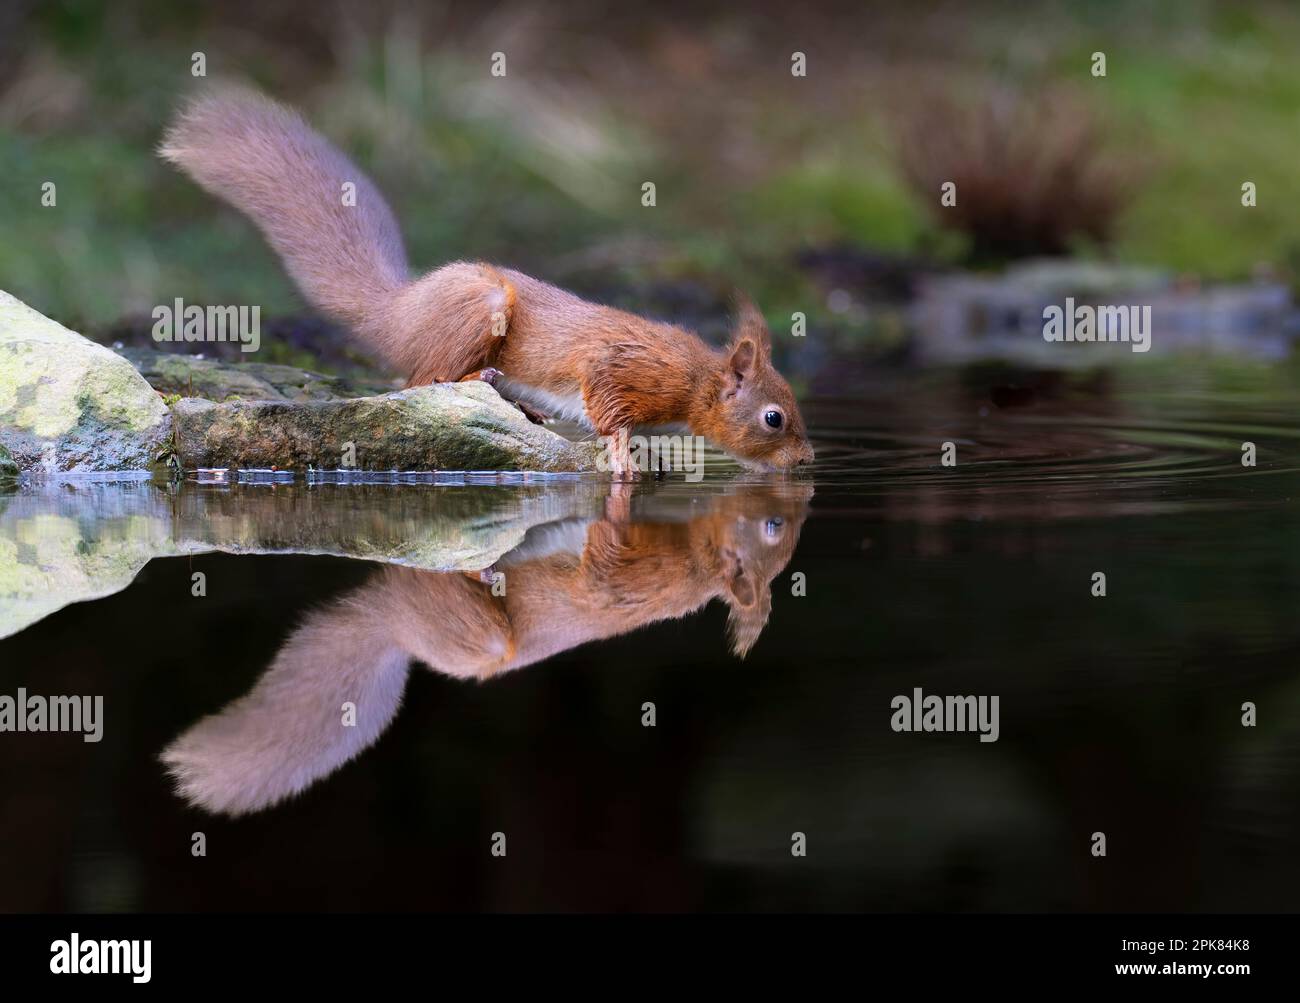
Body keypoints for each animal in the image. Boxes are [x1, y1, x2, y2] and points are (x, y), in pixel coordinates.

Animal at [159, 88, 814, 478]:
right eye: (773, 418)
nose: (809, 460)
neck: (696, 380)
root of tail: (399, 311)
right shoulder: (625, 367)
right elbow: (607, 406)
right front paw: (622, 453)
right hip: (483, 306)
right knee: (422, 380)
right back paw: (481, 380)